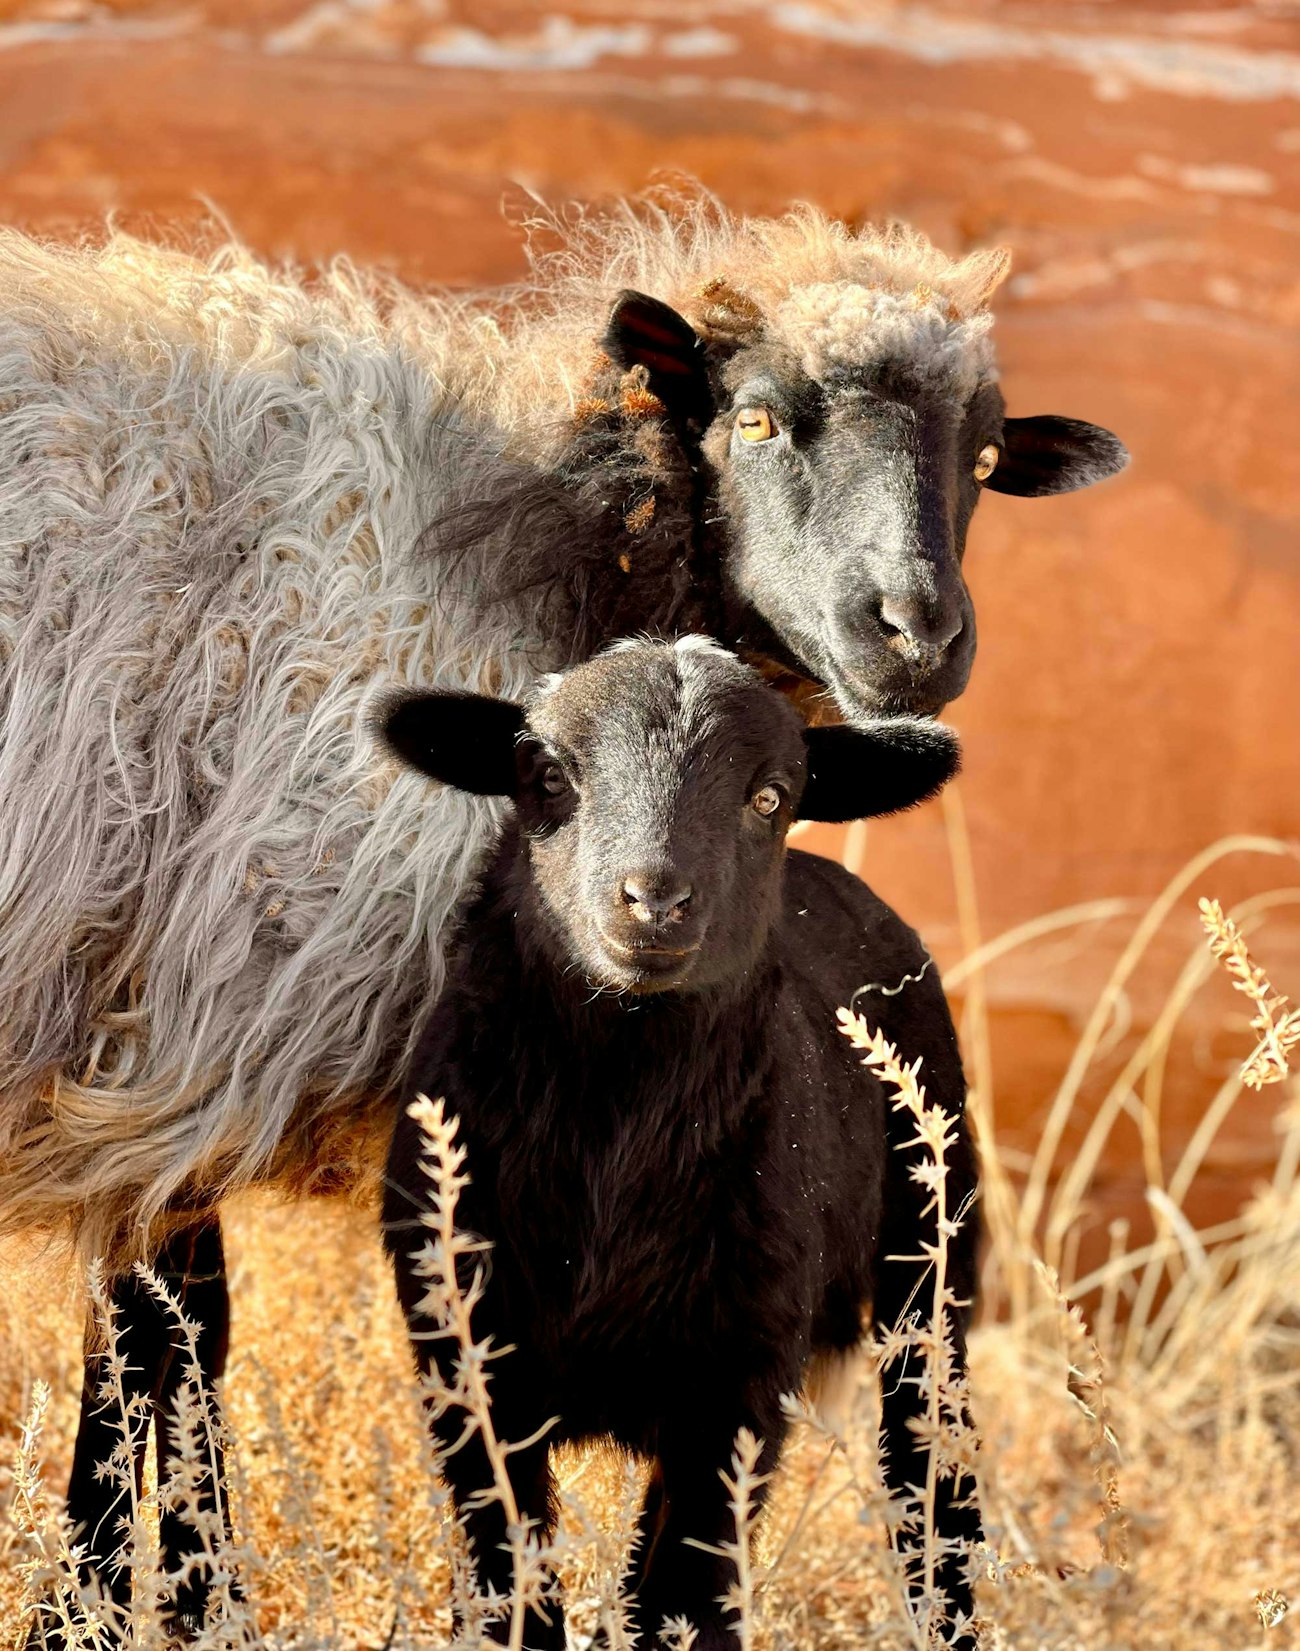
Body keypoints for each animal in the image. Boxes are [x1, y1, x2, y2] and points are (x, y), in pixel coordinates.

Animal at [380, 635, 982, 1651]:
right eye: (546, 774)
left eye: (770, 796)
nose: (654, 902)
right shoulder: (464, 1354)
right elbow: (511, 1579)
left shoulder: (736, 1382)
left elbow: (684, 1601)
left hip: (930, 1271)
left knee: (934, 1475)